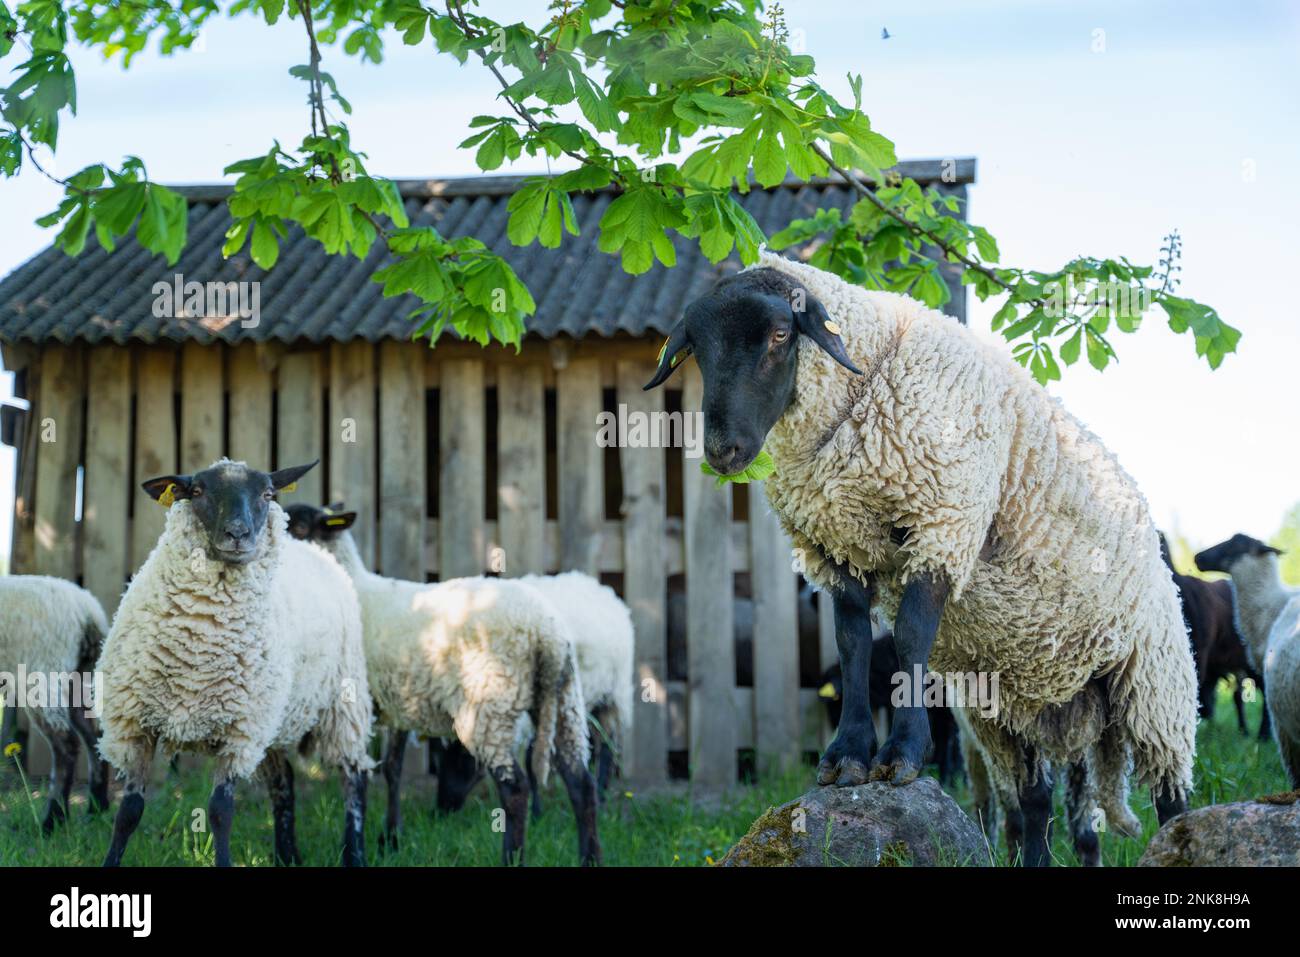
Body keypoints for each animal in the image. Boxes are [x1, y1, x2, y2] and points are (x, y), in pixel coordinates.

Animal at [0, 575, 111, 832]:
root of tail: (87, 610)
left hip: (40, 671)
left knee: (66, 745)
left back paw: (53, 821)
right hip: (78, 678)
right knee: (94, 735)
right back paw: (96, 808)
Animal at [96, 459, 374, 867]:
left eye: (268, 494)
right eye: (197, 491)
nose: (238, 534)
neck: (200, 637)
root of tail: (312, 550)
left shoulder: (238, 733)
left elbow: (220, 812)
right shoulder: (134, 725)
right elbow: (128, 812)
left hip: (343, 703)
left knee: (353, 778)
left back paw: (354, 854)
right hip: (274, 717)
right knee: (283, 782)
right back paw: (286, 854)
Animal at [284, 503, 601, 866]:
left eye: (301, 527)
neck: (354, 586)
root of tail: (546, 633)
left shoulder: (366, 703)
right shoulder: (397, 701)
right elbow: (392, 769)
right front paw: (390, 838)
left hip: (491, 704)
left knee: (515, 788)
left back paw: (512, 857)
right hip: (565, 700)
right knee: (581, 781)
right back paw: (591, 858)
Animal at [644, 250, 1198, 866]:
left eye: (780, 335)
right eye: (696, 346)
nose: (724, 452)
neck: (863, 388)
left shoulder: (943, 522)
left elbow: (910, 635)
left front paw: (902, 756)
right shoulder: (836, 544)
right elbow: (852, 642)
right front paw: (846, 757)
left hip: (1155, 680)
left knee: (1171, 793)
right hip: (1007, 706)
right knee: (1034, 798)